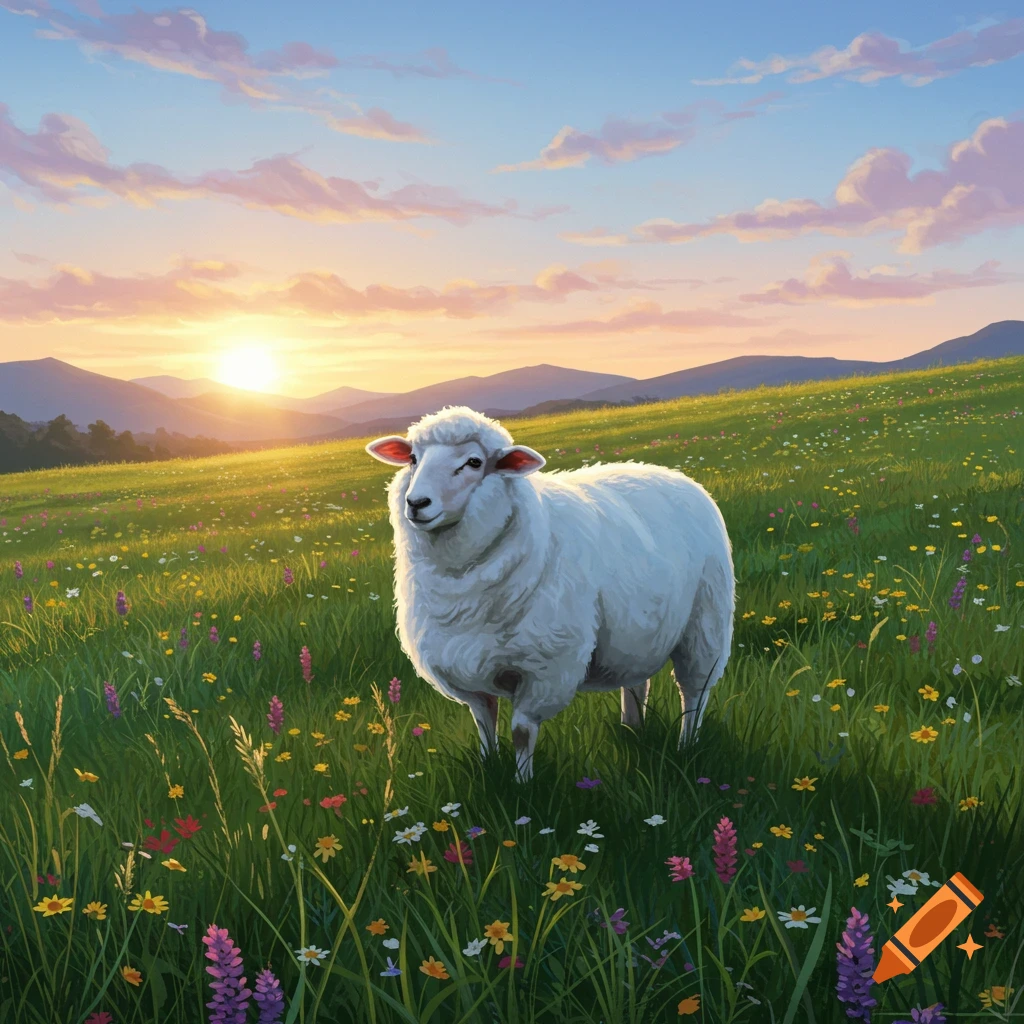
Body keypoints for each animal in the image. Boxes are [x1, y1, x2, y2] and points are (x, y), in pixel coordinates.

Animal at [367, 405, 735, 782]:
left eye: (473, 462)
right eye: (413, 458)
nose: (416, 503)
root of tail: (673, 475)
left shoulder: (545, 668)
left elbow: (521, 731)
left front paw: (523, 785)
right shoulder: (464, 668)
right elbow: (484, 723)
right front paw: (487, 769)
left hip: (706, 622)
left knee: (694, 692)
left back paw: (687, 745)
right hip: (636, 634)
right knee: (636, 683)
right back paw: (632, 730)